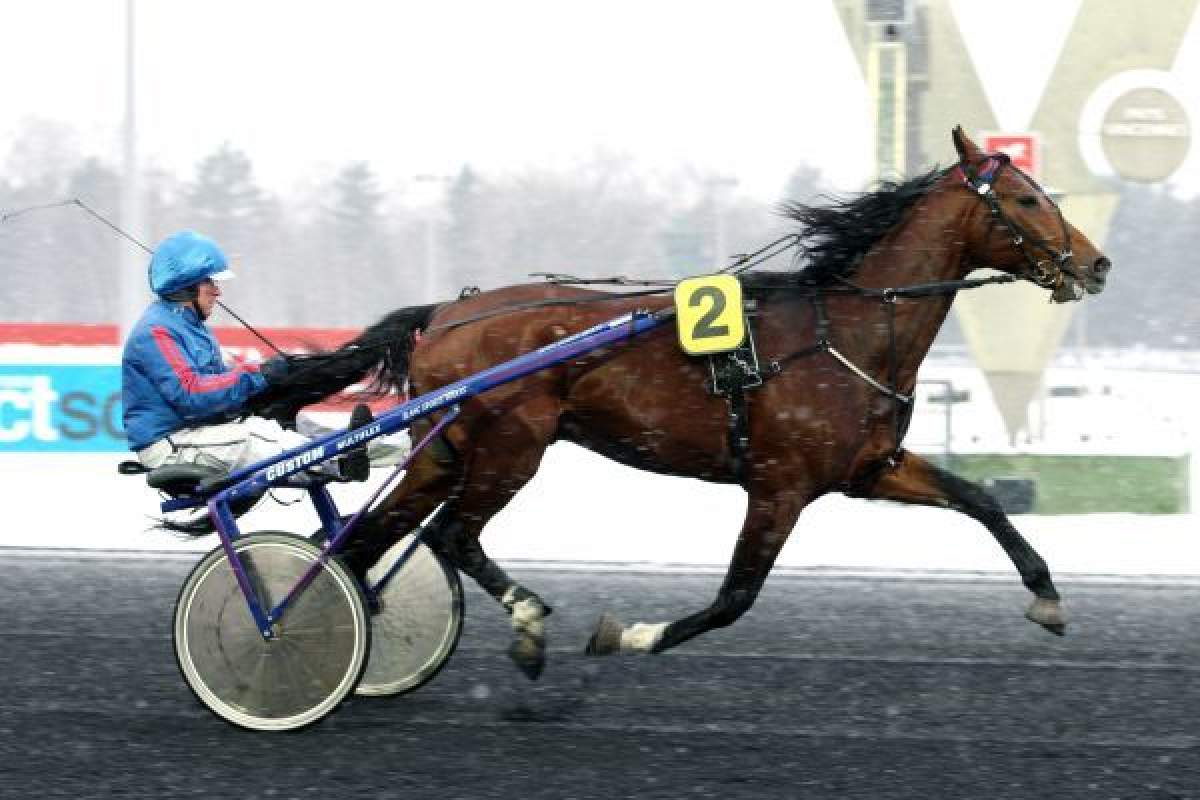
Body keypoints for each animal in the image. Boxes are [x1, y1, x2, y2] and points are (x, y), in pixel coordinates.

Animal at [250, 127, 1111, 679]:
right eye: (1026, 200)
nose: (1097, 264)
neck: (847, 331)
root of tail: (442, 314)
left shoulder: (871, 468)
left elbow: (982, 500)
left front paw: (1047, 600)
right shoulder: (780, 485)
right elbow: (734, 597)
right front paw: (627, 634)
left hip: (445, 450)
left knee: (366, 543)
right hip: (509, 449)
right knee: (451, 536)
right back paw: (521, 625)